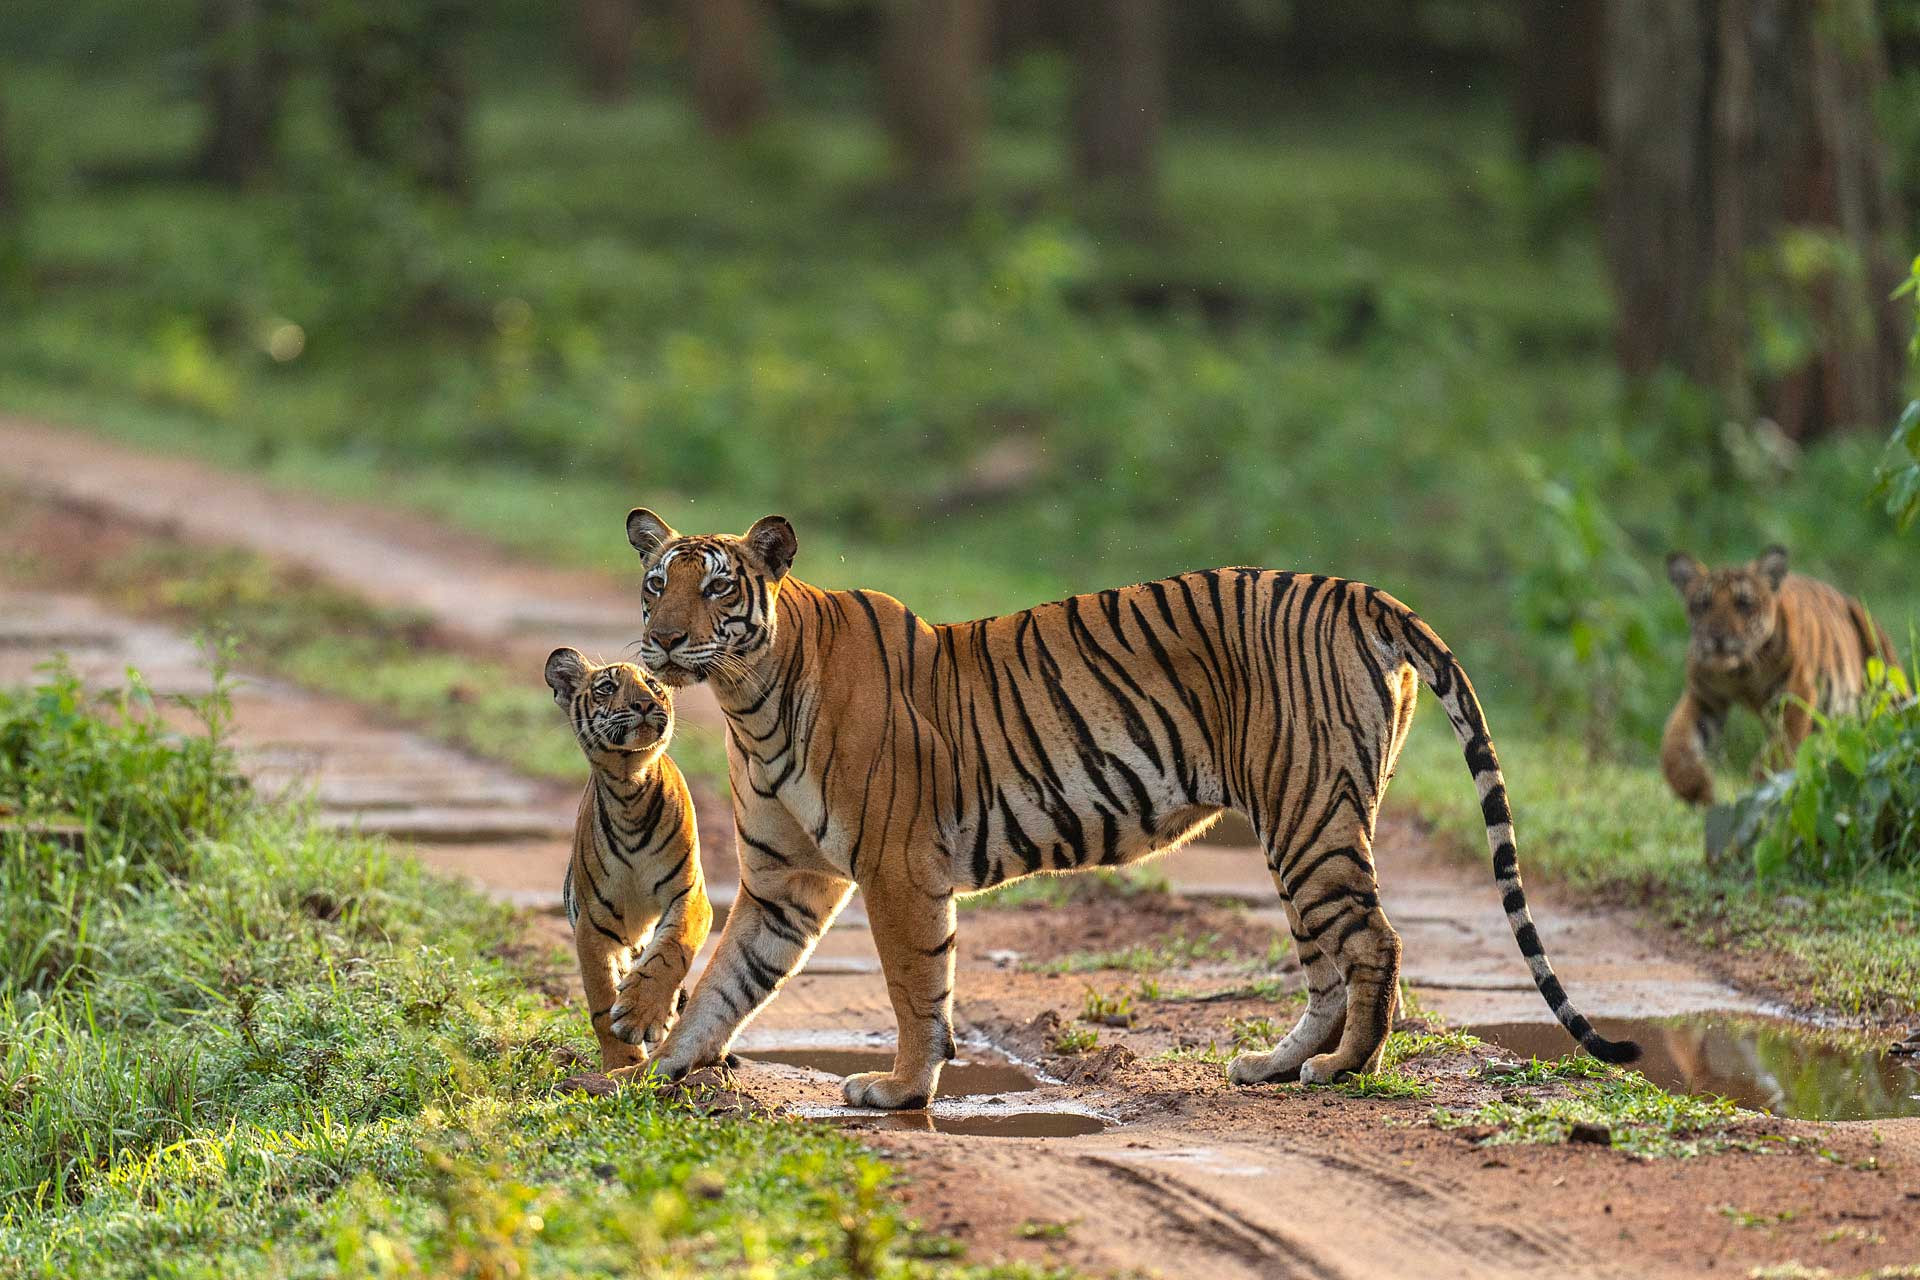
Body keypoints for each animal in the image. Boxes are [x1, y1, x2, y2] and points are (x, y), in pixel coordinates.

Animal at [546, 646, 711, 1070]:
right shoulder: (594, 922)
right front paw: (621, 1062)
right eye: (607, 687)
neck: (628, 785)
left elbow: (670, 951)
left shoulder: (690, 895)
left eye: (653, 684)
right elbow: (603, 999)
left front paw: (641, 1014)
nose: (645, 703)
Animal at [628, 511, 1638, 1107]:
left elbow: (917, 988)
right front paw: (658, 1065)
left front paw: (902, 1090)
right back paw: (1275, 1065)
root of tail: (1358, 592)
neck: (749, 699)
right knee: (1328, 960)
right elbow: (727, 984)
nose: (663, 640)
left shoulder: (897, 869)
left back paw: (1345, 1070)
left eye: (716, 586)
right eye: (655, 583)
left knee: (1374, 944)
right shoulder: (784, 883)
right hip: (1302, 826)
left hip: (1310, 817)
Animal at [1661, 545, 1897, 807]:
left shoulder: (1795, 694)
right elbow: (1675, 742)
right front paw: (1695, 787)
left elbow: (1782, 747)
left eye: (1744, 603)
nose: (1717, 636)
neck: (1740, 672)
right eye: (1703, 604)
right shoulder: (1704, 697)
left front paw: (1767, 787)